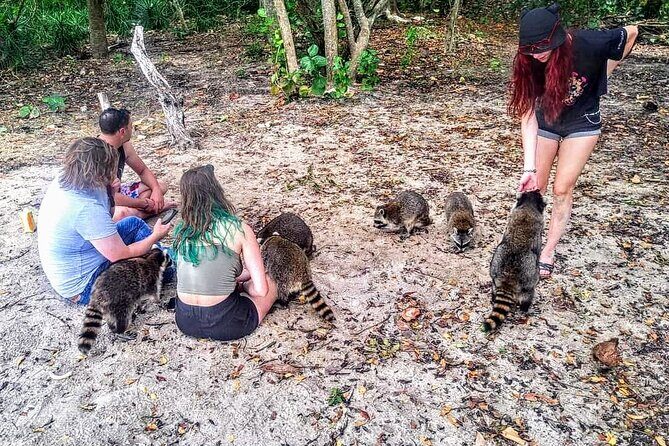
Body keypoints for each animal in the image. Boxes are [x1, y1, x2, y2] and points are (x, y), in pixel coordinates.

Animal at [483, 191, 546, 332]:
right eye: (537, 192)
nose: (538, 189)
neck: (529, 205)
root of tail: (509, 278)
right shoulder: (539, 224)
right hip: (530, 277)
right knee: (529, 293)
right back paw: (526, 308)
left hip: (496, 264)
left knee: (494, 287)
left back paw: (493, 297)